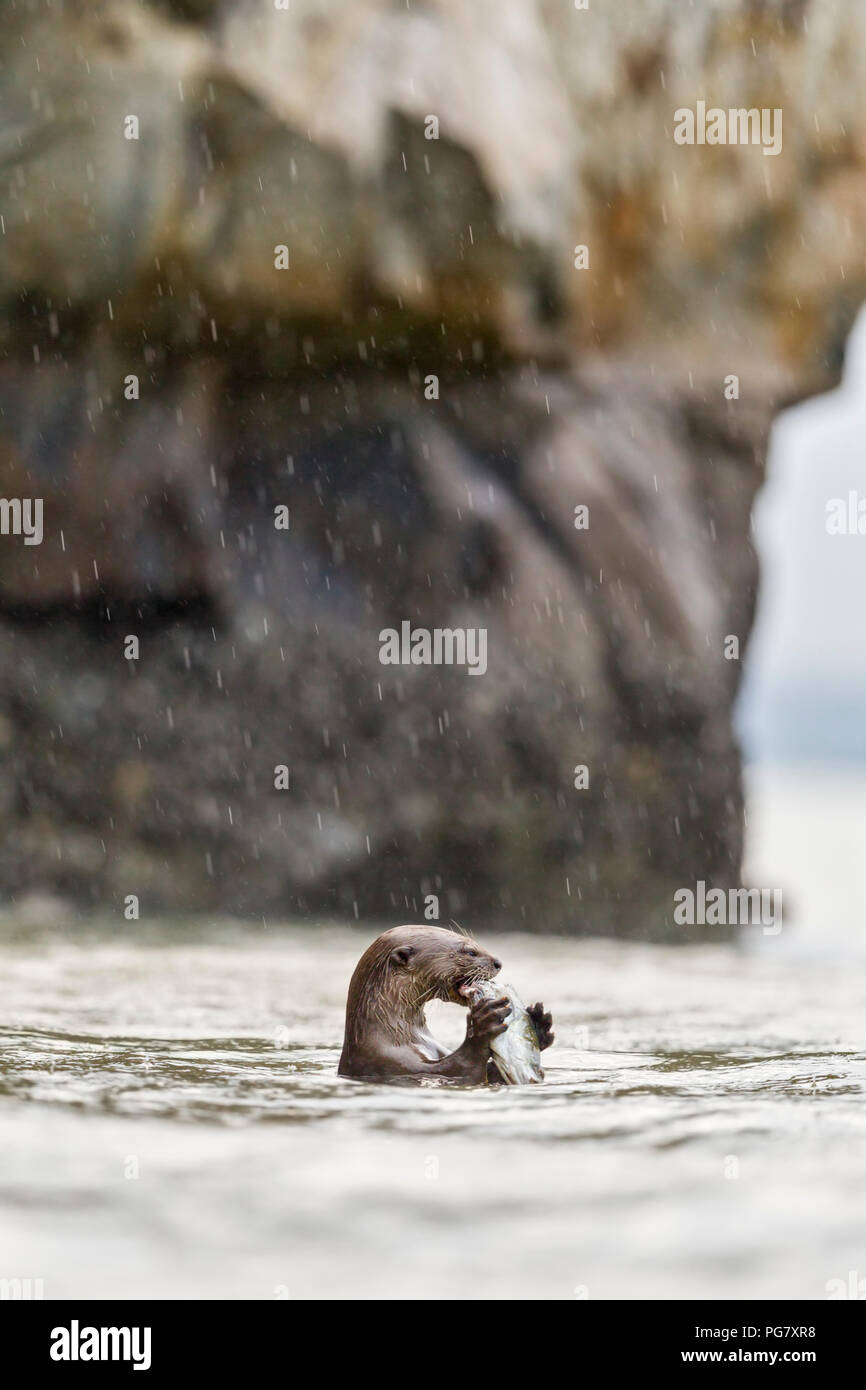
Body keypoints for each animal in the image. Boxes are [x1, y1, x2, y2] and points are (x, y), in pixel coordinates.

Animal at [338, 924, 553, 1084]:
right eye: (470, 952)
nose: (498, 962)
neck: (393, 1033)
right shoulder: (391, 1063)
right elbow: (462, 1068)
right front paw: (482, 1025)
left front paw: (538, 1024)